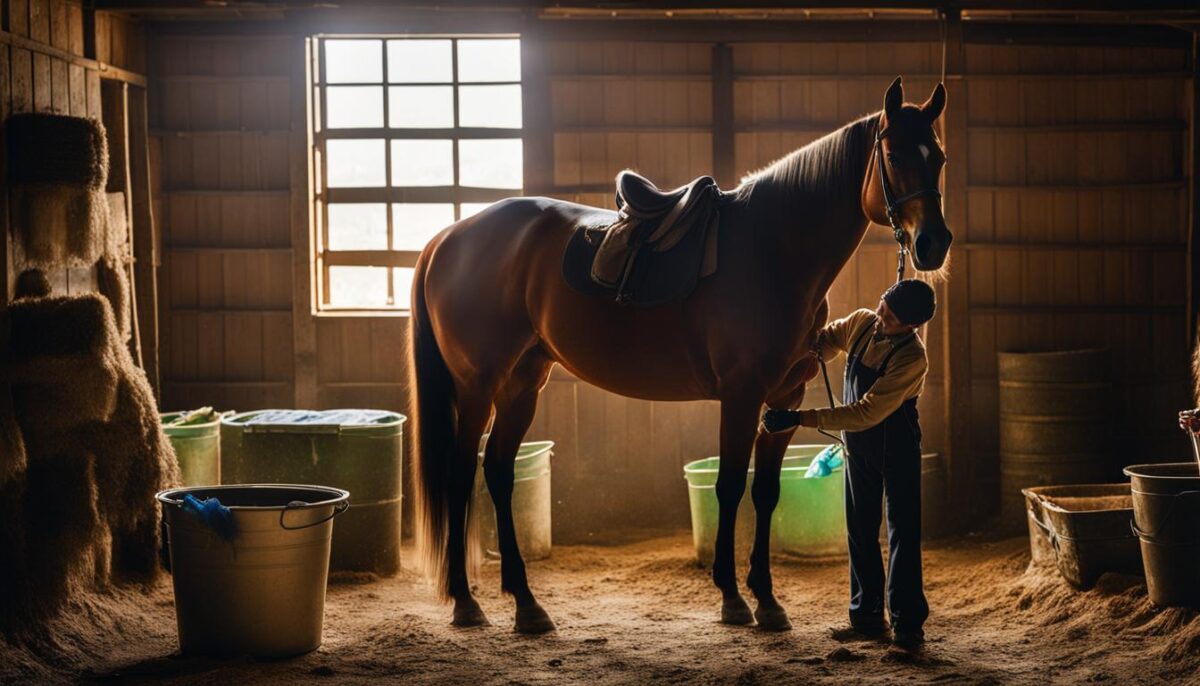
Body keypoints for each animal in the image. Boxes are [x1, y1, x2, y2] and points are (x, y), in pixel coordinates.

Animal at [409, 77, 952, 633]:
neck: (771, 251)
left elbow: (766, 493)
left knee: (497, 471)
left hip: (522, 385)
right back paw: (465, 601)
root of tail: (449, 237)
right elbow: (731, 486)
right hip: (477, 388)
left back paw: (525, 603)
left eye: (939, 158)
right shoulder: (741, 396)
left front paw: (767, 599)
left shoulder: (784, 399)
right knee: (460, 477)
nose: (933, 243)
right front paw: (732, 597)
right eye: (893, 153)